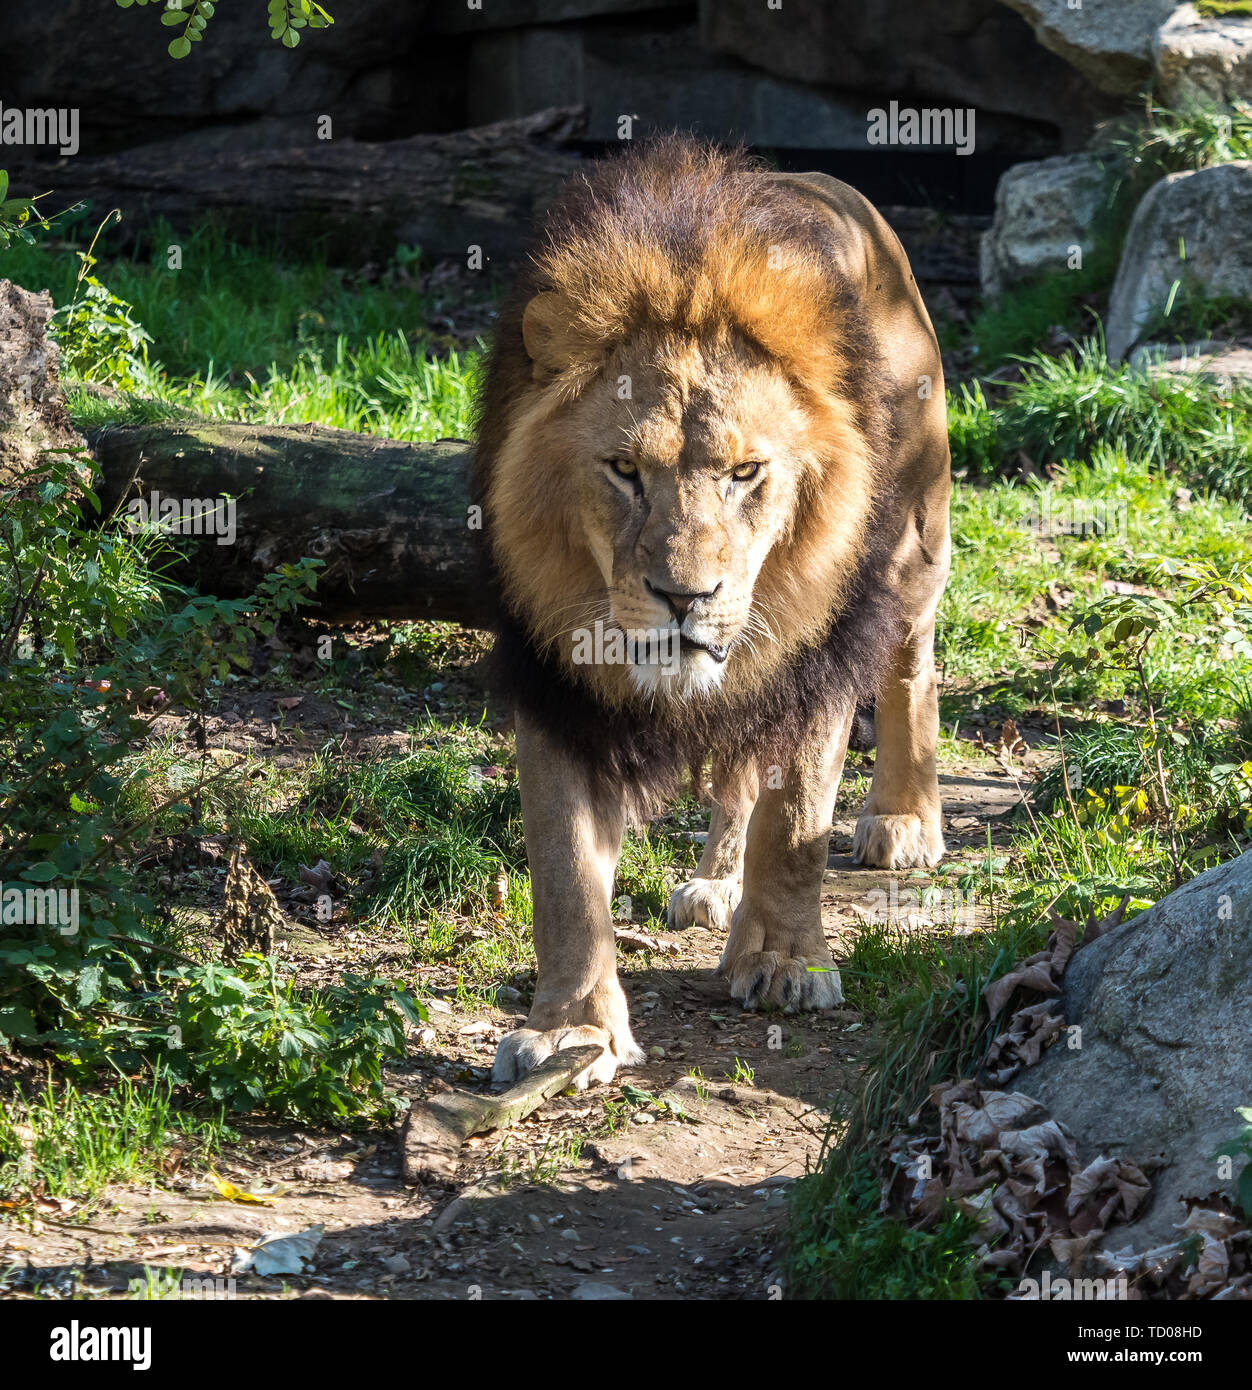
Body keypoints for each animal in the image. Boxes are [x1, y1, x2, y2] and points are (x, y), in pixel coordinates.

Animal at [472, 137, 950, 1088]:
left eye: (744, 473)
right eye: (624, 470)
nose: (685, 598)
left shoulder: (815, 659)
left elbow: (796, 819)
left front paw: (783, 963)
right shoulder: (554, 682)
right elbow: (564, 869)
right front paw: (572, 1028)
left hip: (916, 541)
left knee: (911, 667)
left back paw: (904, 819)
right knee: (736, 767)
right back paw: (718, 881)